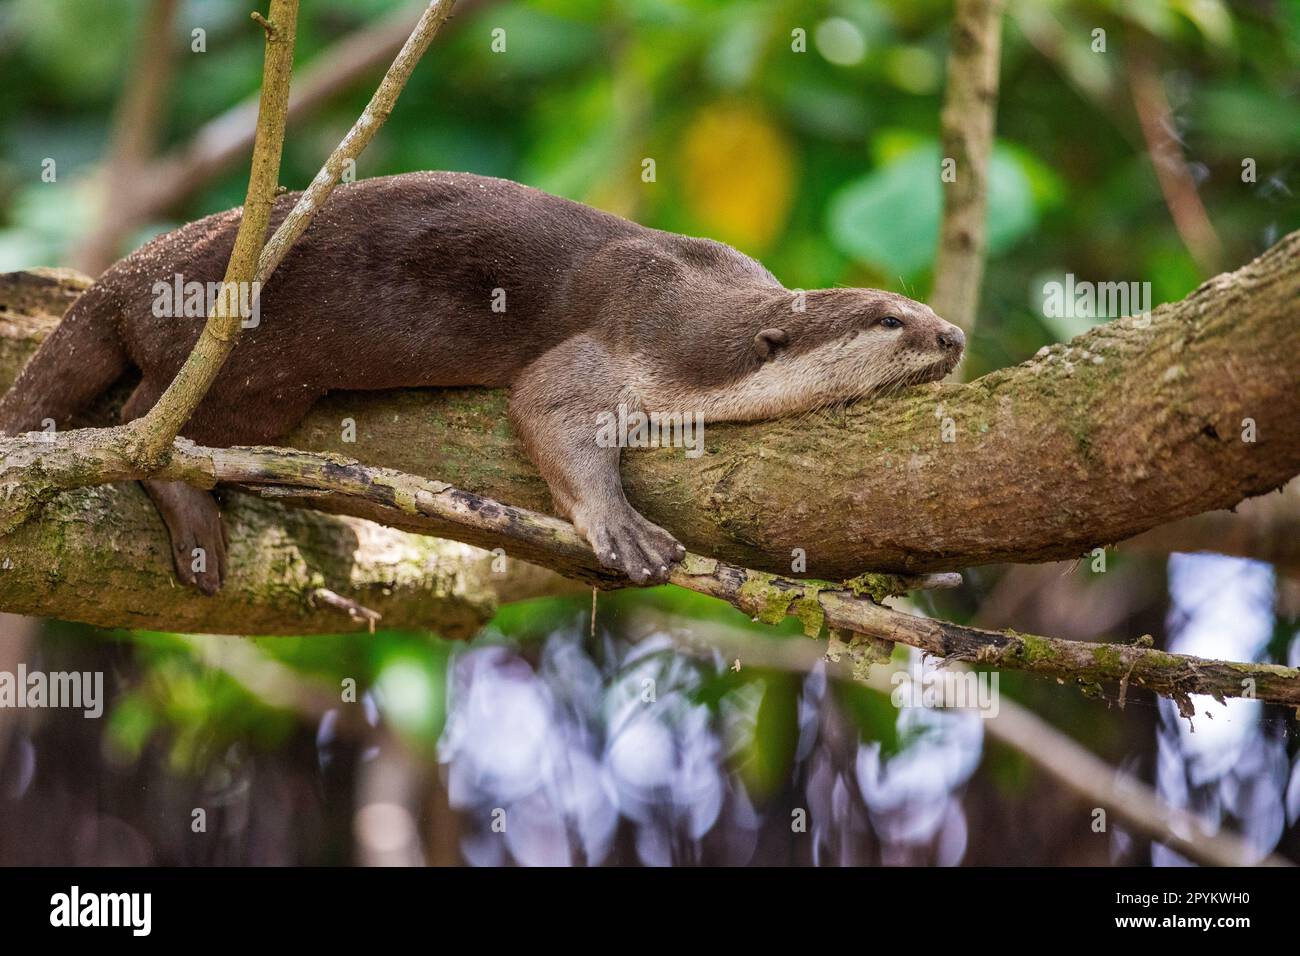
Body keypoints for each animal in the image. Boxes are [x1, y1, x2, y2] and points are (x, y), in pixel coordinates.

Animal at [0, 171, 963, 591]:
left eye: (913, 307)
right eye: (890, 320)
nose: (952, 334)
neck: (698, 325)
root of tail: (133, 271)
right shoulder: (625, 336)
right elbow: (545, 405)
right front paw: (622, 530)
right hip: (250, 370)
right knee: (142, 419)